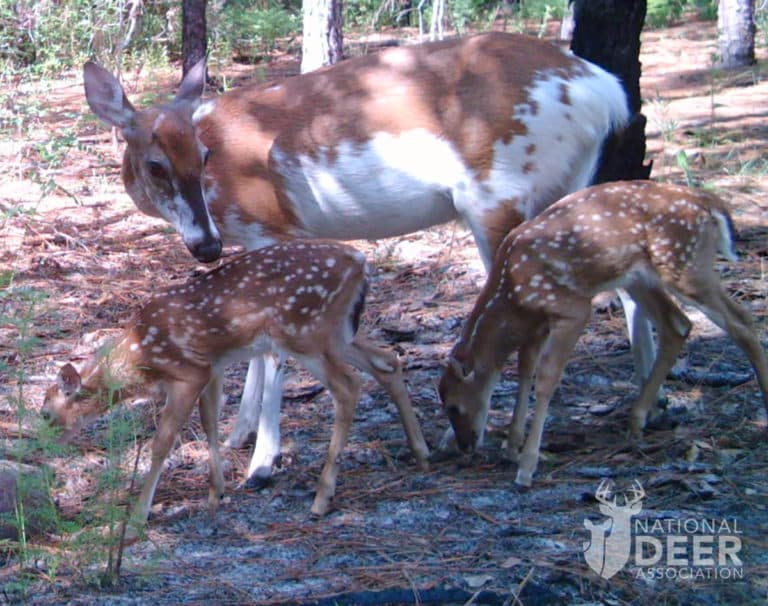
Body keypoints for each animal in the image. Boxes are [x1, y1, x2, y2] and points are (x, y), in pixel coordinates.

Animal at [41, 240, 430, 532]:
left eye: (45, 413)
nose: (43, 447)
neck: (140, 354)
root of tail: (361, 263)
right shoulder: (211, 366)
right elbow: (211, 422)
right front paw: (217, 493)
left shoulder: (188, 372)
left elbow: (162, 443)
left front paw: (137, 518)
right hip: (337, 332)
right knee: (389, 361)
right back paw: (422, 453)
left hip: (304, 332)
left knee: (348, 387)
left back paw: (321, 499)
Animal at [81, 31, 652, 485]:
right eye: (157, 165)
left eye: (203, 157)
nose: (206, 247)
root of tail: (603, 88)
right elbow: (253, 345)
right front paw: (242, 433)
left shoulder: (275, 229)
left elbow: (273, 352)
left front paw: (263, 462)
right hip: (569, 186)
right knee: (628, 281)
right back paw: (647, 406)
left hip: (497, 195)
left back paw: (472, 438)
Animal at [438, 180, 768, 487]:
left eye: (454, 405)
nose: (465, 446)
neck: (512, 292)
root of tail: (711, 203)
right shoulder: (537, 324)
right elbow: (524, 370)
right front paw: (512, 447)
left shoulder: (571, 308)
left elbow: (545, 379)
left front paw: (526, 467)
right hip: (641, 277)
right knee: (677, 324)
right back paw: (636, 419)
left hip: (685, 263)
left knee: (740, 319)